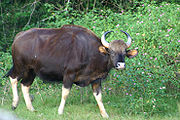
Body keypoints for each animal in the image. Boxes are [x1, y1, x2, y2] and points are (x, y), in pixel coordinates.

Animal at [5, 24, 138, 117]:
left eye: (124, 52)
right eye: (111, 52)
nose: (121, 64)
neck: (92, 53)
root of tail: (19, 36)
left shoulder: (96, 79)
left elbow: (99, 97)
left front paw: (104, 114)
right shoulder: (69, 75)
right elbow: (65, 93)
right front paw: (60, 111)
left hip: (31, 71)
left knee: (25, 85)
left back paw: (31, 108)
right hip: (20, 66)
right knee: (13, 78)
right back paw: (14, 104)